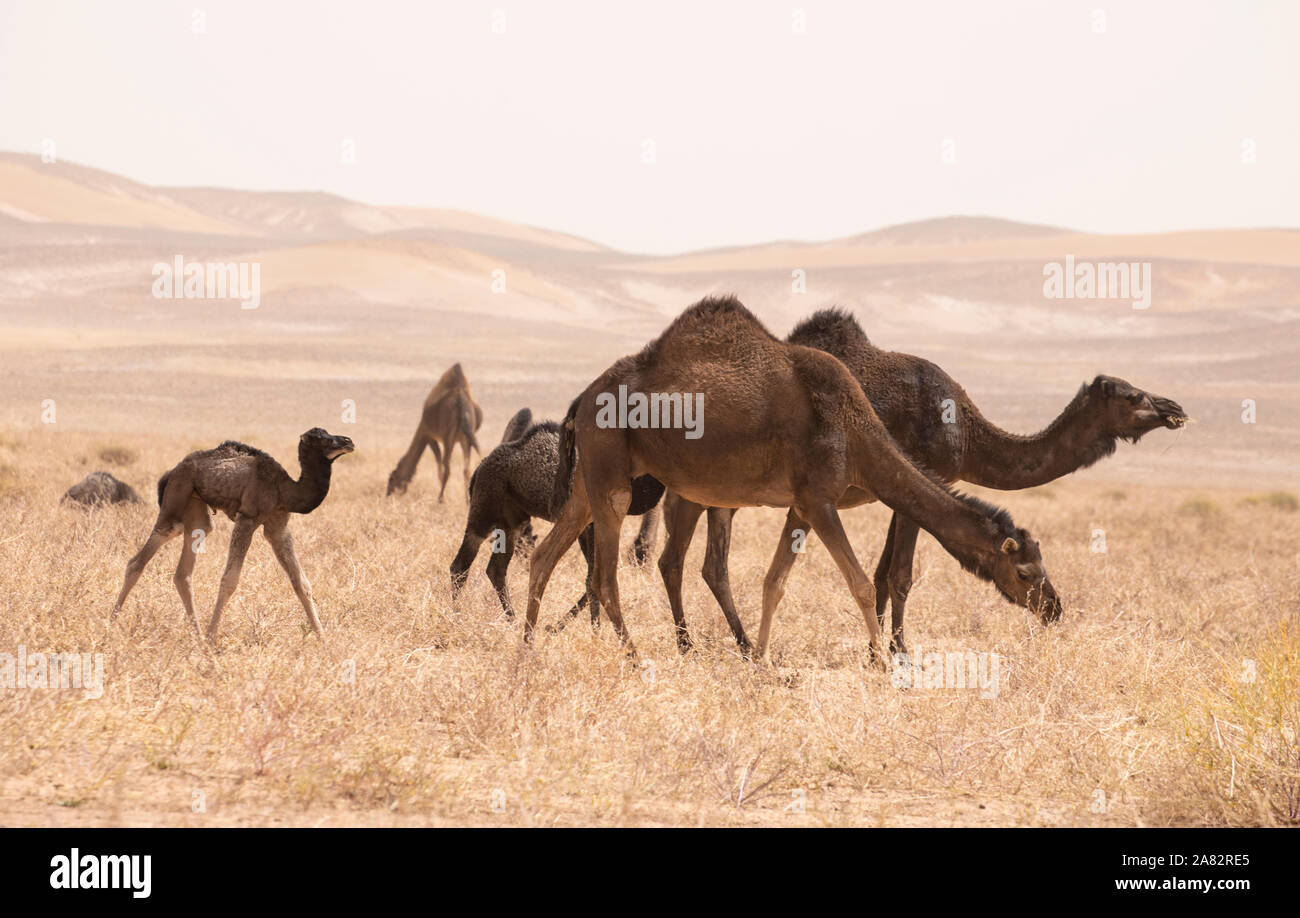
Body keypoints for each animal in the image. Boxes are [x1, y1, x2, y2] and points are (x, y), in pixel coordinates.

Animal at [111, 428, 354, 642]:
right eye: (322, 439)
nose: (348, 441)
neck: (284, 490)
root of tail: (171, 471)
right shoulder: (247, 518)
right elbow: (230, 580)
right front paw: (212, 639)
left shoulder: (277, 525)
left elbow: (300, 582)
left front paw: (323, 640)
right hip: (176, 496)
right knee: (141, 557)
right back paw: (112, 623)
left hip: (195, 508)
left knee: (184, 568)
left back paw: (197, 636)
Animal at [386, 363, 483, 500]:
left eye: (392, 479)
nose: (387, 495)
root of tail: (461, 401)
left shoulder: (428, 435)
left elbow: (439, 466)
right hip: (466, 436)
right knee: (466, 468)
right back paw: (466, 500)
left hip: (448, 436)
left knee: (447, 466)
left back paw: (440, 499)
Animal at [450, 412, 661, 620]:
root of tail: (479, 469)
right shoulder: (589, 525)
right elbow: (591, 580)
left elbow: (592, 579)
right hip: (483, 513)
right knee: (460, 565)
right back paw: (457, 615)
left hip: (513, 523)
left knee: (496, 569)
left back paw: (512, 620)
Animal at [524, 296, 1061, 665]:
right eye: (1025, 572)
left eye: (1041, 565)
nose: (1055, 609)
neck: (856, 429)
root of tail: (580, 399)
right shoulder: (820, 499)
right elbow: (858, 581)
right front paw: (883, 663)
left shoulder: (802, 504)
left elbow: (774, 582)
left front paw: (762, 660)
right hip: (611, 471)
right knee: (605, 575)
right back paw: (635, 659)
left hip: (589, 479)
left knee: (545, 554)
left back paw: (525, 651)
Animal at [659, 307, 1188, 655]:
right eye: (1134, 396)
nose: (1174, 409)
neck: (968, 434)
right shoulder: (920, 474)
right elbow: (900, 575)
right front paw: (898, 652)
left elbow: (882, 573)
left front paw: (879, 650)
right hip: (699, 486)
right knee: (681, 559)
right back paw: (699, 645)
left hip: (722, 493)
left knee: (706, 564)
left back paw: (737, 644)